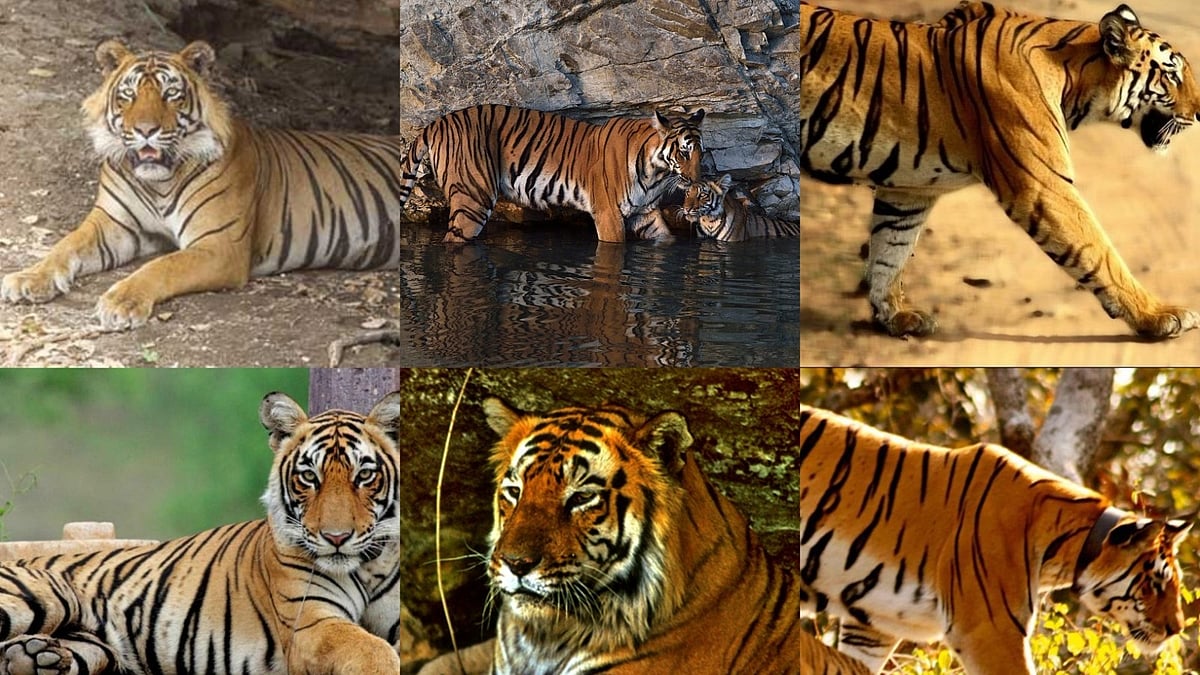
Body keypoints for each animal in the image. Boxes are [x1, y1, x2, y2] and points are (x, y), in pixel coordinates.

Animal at [0, 40, 405, 331]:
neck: (158, 182)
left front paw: (120, 302)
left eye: (170, 94)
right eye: (129, 95)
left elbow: (163, 266)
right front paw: (26, 279)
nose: (145, 130)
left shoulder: (219, 244)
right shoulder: (113, 223)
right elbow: (63, 246)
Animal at [0, 391, 401, 674]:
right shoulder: (313, 623)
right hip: (46, 596)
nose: (336, 538)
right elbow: (373, 650)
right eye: (308, 477)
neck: (370, 565)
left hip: (94, 645)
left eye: (364, 475)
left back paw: (31, 659)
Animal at [395, 104, 705, 243]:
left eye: (700, 152)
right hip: (473, 200)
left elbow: (667, 239)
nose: (696, 180)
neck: (656, 173)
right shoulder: (609, 214)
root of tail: (436, 123)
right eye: (684, 152)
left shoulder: (646, 213)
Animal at [800, 2, 1200, 338]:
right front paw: (1159, 316)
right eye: (1172, 75)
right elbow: (1101, 254)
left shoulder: (909, 191)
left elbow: (890, 251)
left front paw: (895, 317)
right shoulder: (1043, 186)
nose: (1199, 113)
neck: (1076, 78)